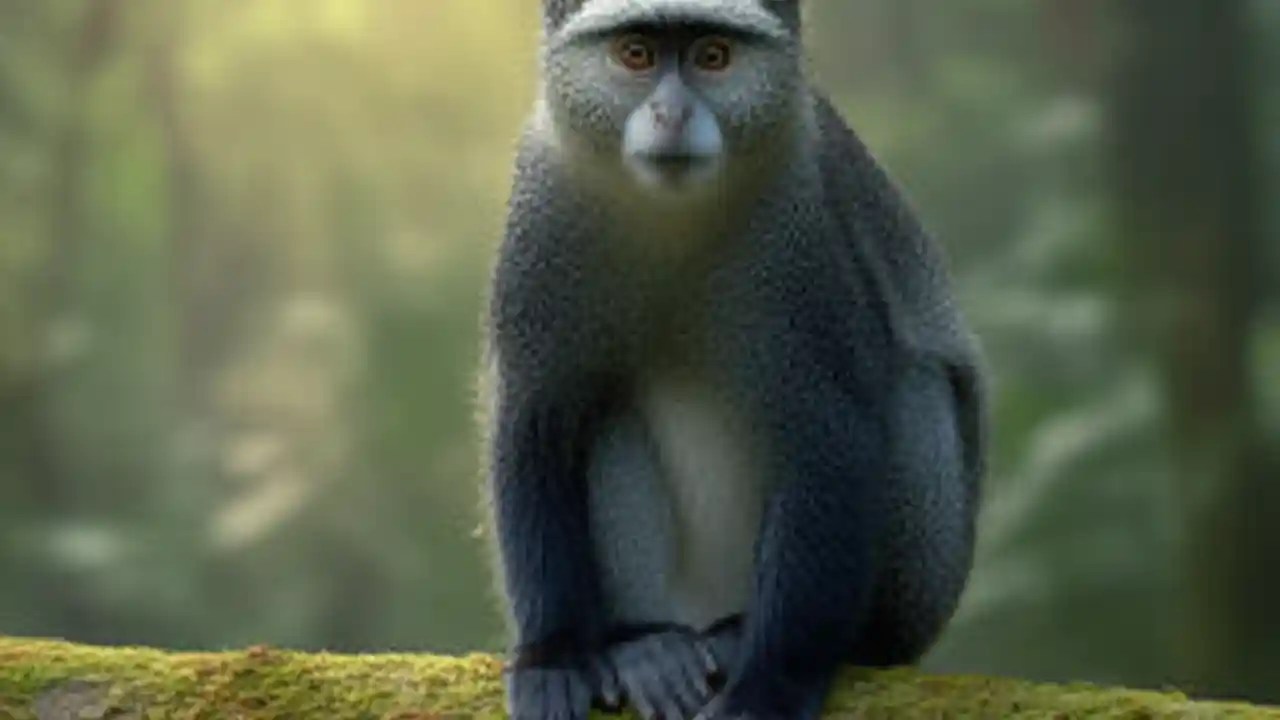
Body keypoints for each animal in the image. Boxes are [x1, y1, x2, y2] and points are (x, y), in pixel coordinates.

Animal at [480, 1, 985, 718]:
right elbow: (540, 421)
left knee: (914, 391)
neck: (673, 216)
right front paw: (551, 655)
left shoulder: (801, 234)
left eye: (713, 56)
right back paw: (647, 644)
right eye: (635, 54)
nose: (671, 113)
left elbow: (829, 434)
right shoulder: (542, 219)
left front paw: (771, 684)